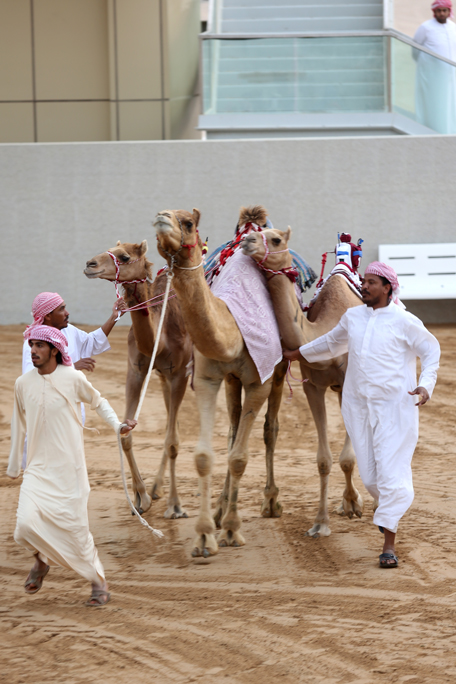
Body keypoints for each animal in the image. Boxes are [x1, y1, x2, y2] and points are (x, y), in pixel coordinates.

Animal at [84, 240, 192, 519]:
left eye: (124, 256)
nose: (90, 264)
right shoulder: (137, 370)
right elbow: (126, 434)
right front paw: (141, 498)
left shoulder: (180, 373)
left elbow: (173, 441)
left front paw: (175, 506)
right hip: (164, 378)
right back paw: (156, 488)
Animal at [154, 207, 288, 558]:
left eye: (188, 223)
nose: (161, 216)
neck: (233, 335)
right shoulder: (207, 378)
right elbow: (205, 456)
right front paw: (204, 535)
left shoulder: (259, 382)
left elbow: (240, 458)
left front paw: (231, 529)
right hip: (231, 380)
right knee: (232, 430)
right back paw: (219, 508)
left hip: (280, 370)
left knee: (270, 429)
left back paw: (270, 503)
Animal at [242, 227, 364, 537]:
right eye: (256, 232)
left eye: (275, 239)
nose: (247, 241)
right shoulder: (312, 385)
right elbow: (323, 460)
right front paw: (321, 523)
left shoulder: (350, 382)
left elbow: (347, 457)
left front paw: (353, 505)